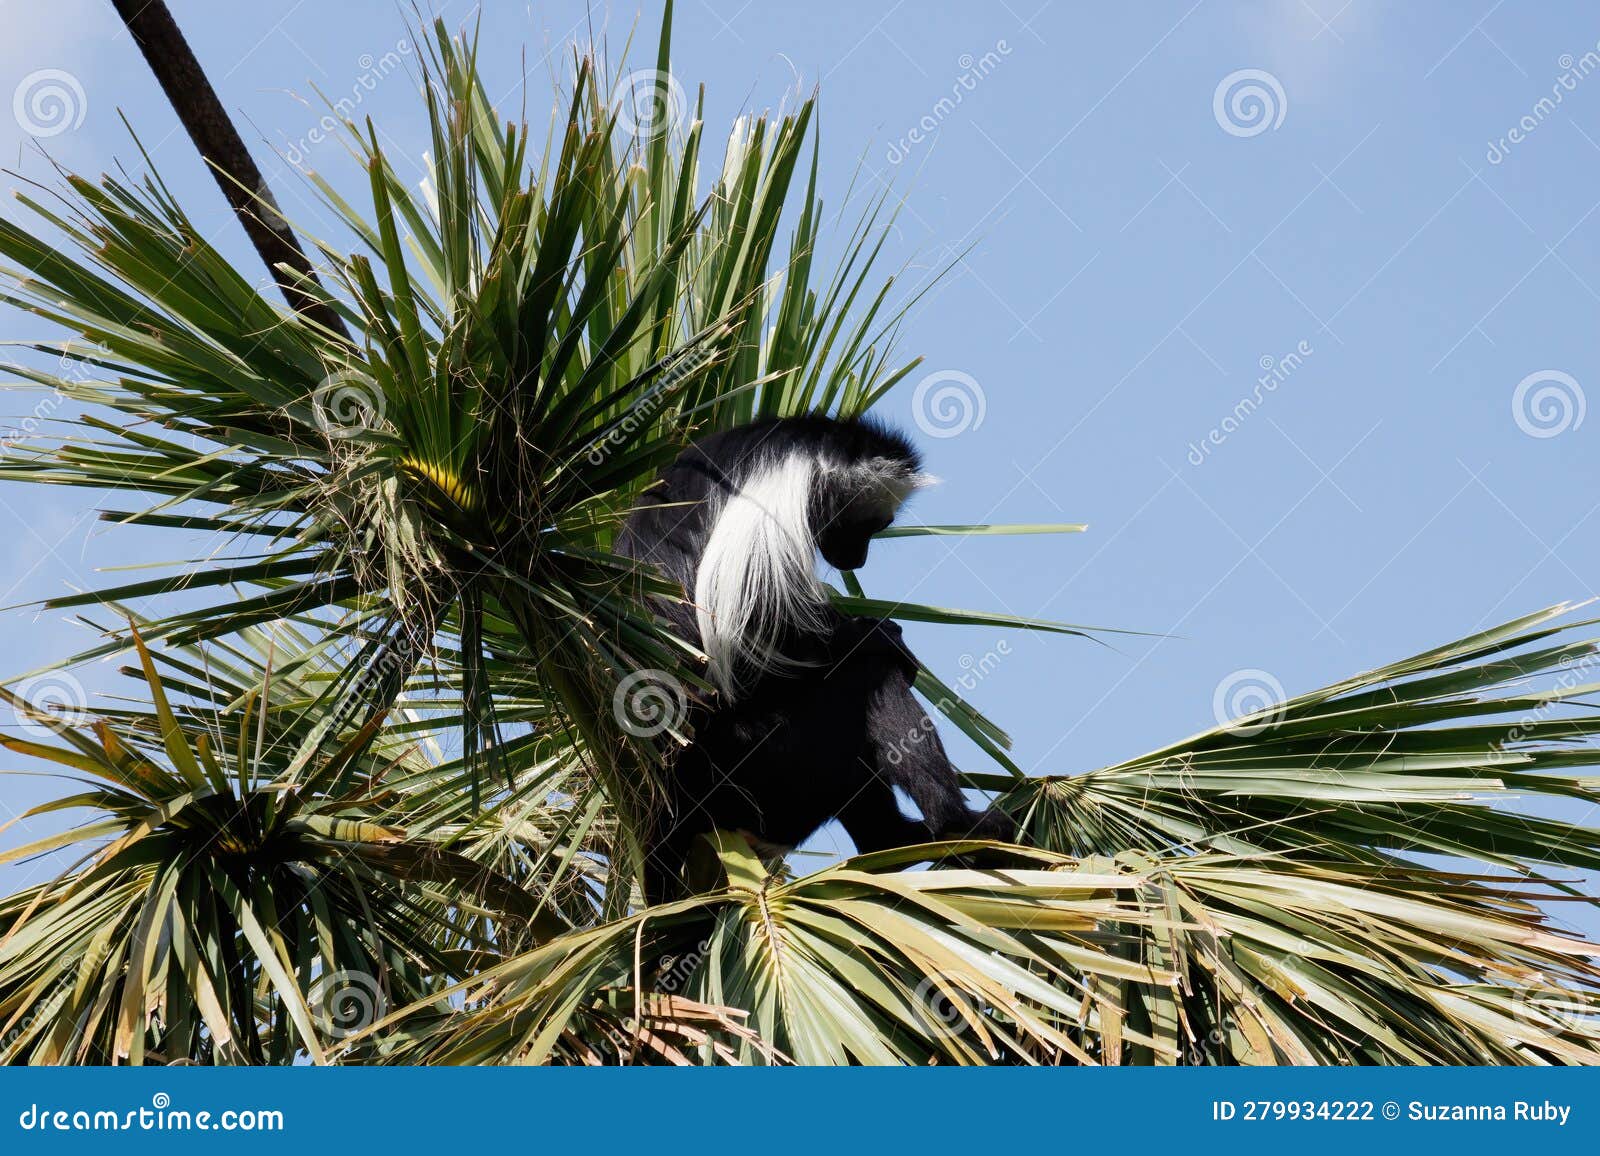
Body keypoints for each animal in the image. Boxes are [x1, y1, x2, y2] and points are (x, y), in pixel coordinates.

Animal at [615, 414, 1014, 902]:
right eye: (871, 524)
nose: (858, 560)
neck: (818, 449)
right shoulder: (780, 494)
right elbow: (756, 633)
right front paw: (879, 634)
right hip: (768, 761)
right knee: (865, 678)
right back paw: (957, 823)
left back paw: (895, 839)